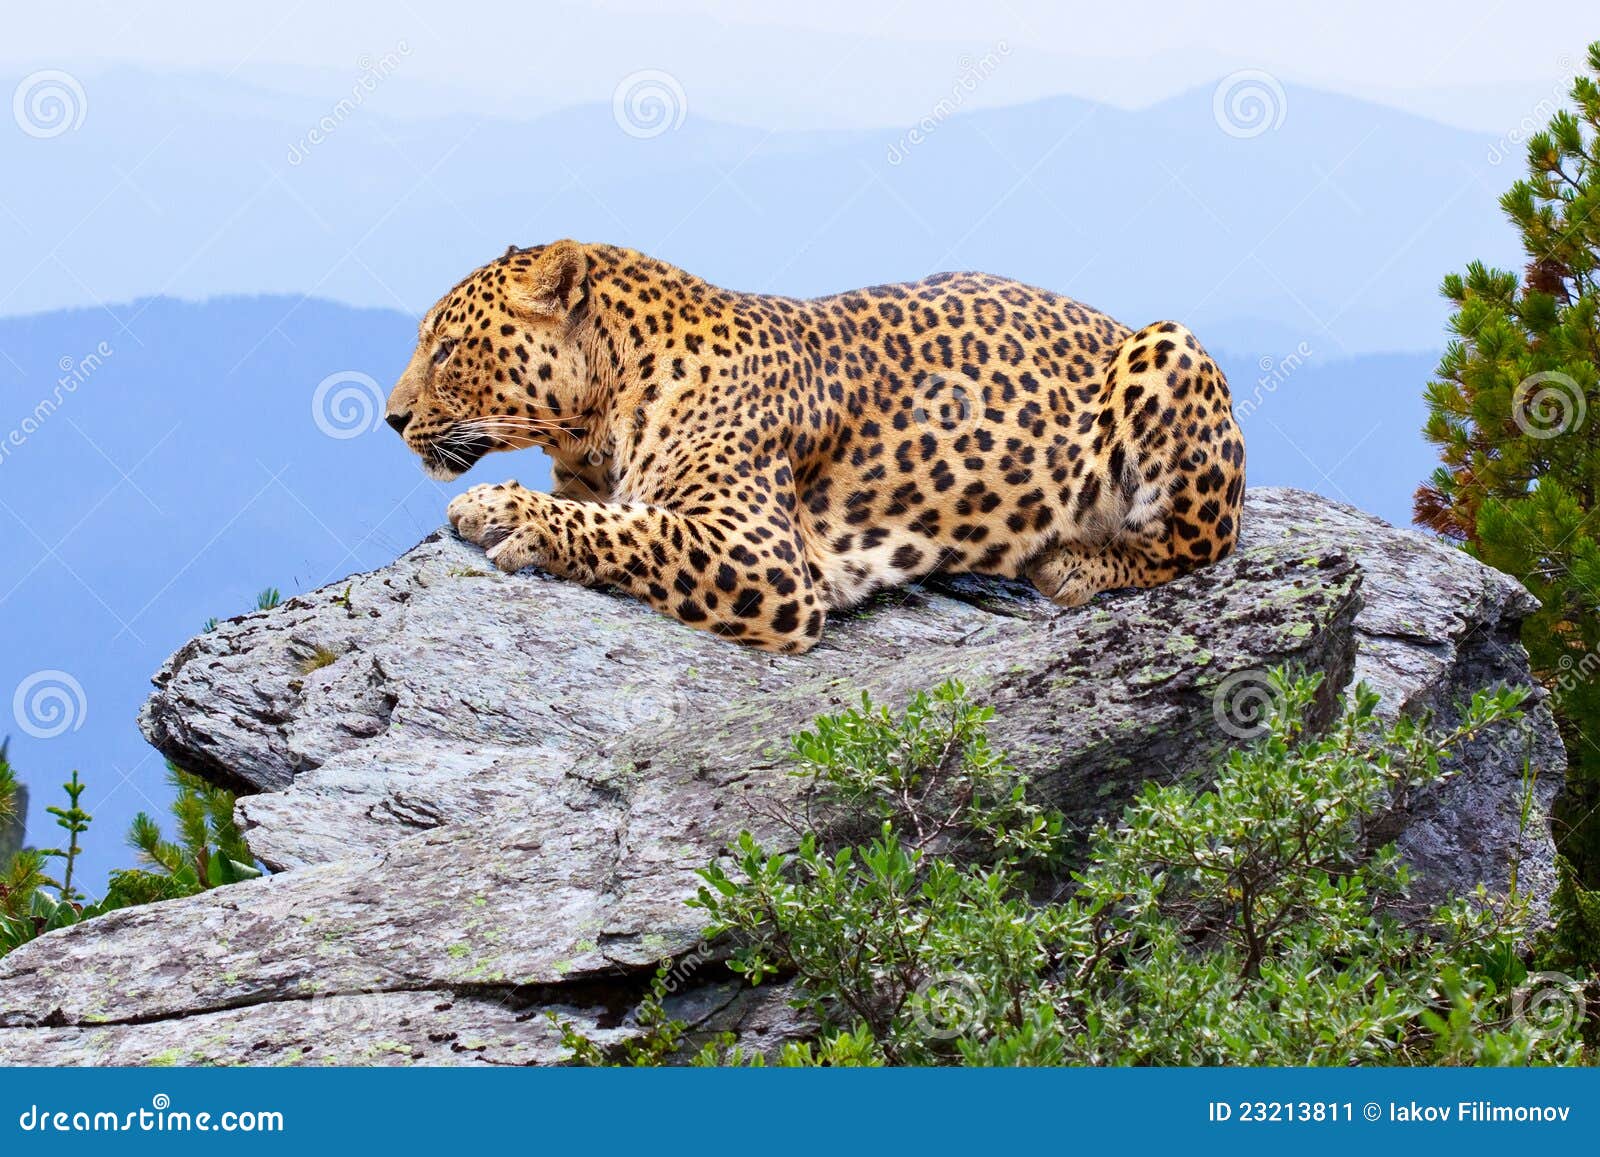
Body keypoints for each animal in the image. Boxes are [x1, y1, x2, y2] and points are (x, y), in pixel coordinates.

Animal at [384, 240, 1245, 653]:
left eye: (446, 347)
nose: (390, 419)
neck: (599, 418)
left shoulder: (759, 554)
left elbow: (634, 527)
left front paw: (504, 509)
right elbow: (612, 513)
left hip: (1171, 347)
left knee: (1200, 544)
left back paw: (1074, 563)